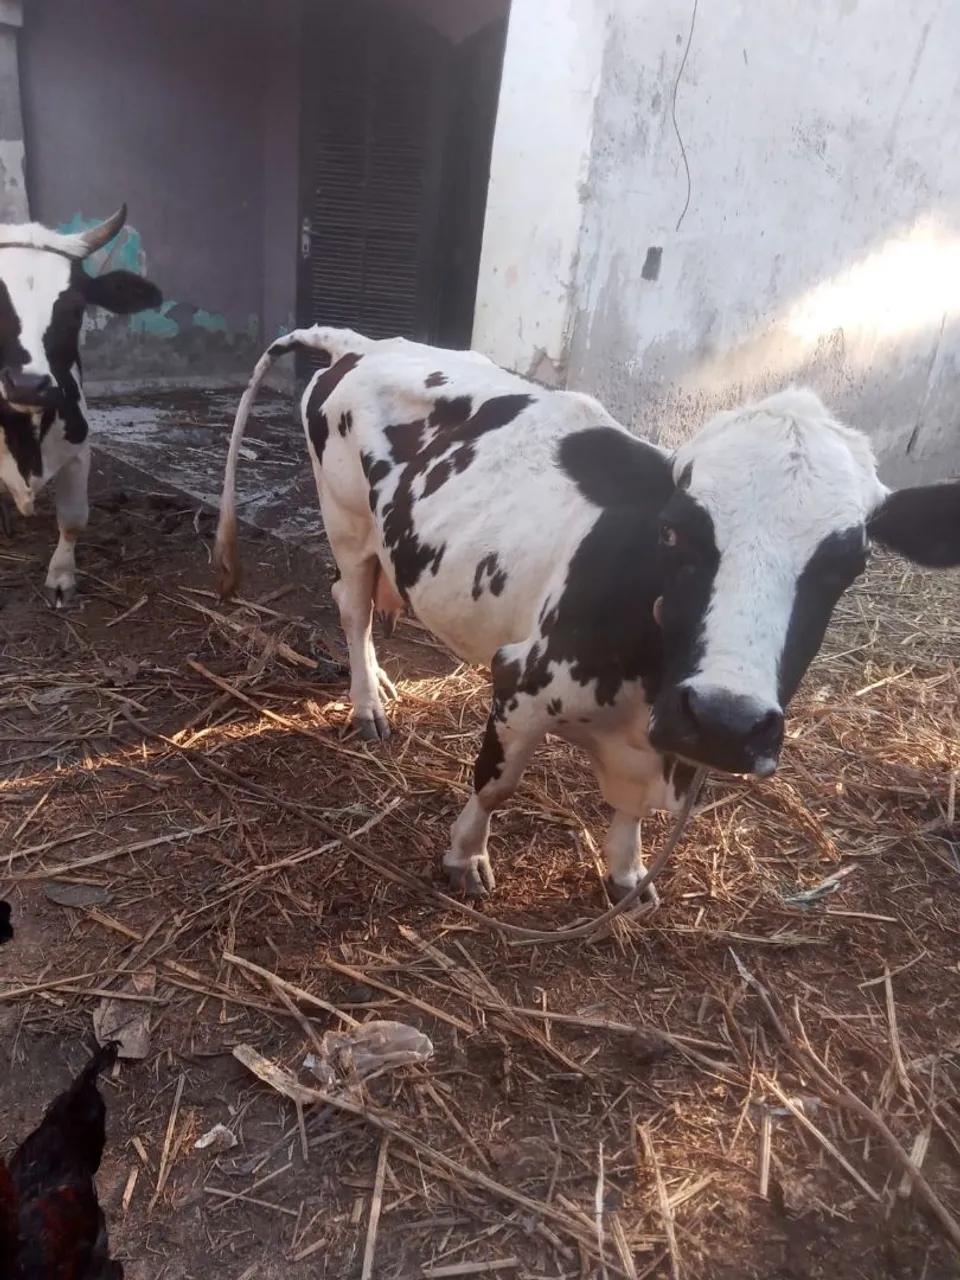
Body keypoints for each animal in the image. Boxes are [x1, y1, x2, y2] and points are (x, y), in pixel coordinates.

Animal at [213, 326, 960, 904]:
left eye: (850, 564)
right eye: (673, 531)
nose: (724, 720)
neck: (644, 695)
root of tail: (363, 346)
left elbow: (631, 811)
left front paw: (628, 874)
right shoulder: (520, 681)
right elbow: (496, 784)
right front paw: (465, 858)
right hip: (346, 521)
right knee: (353, 606)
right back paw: (367, 702)